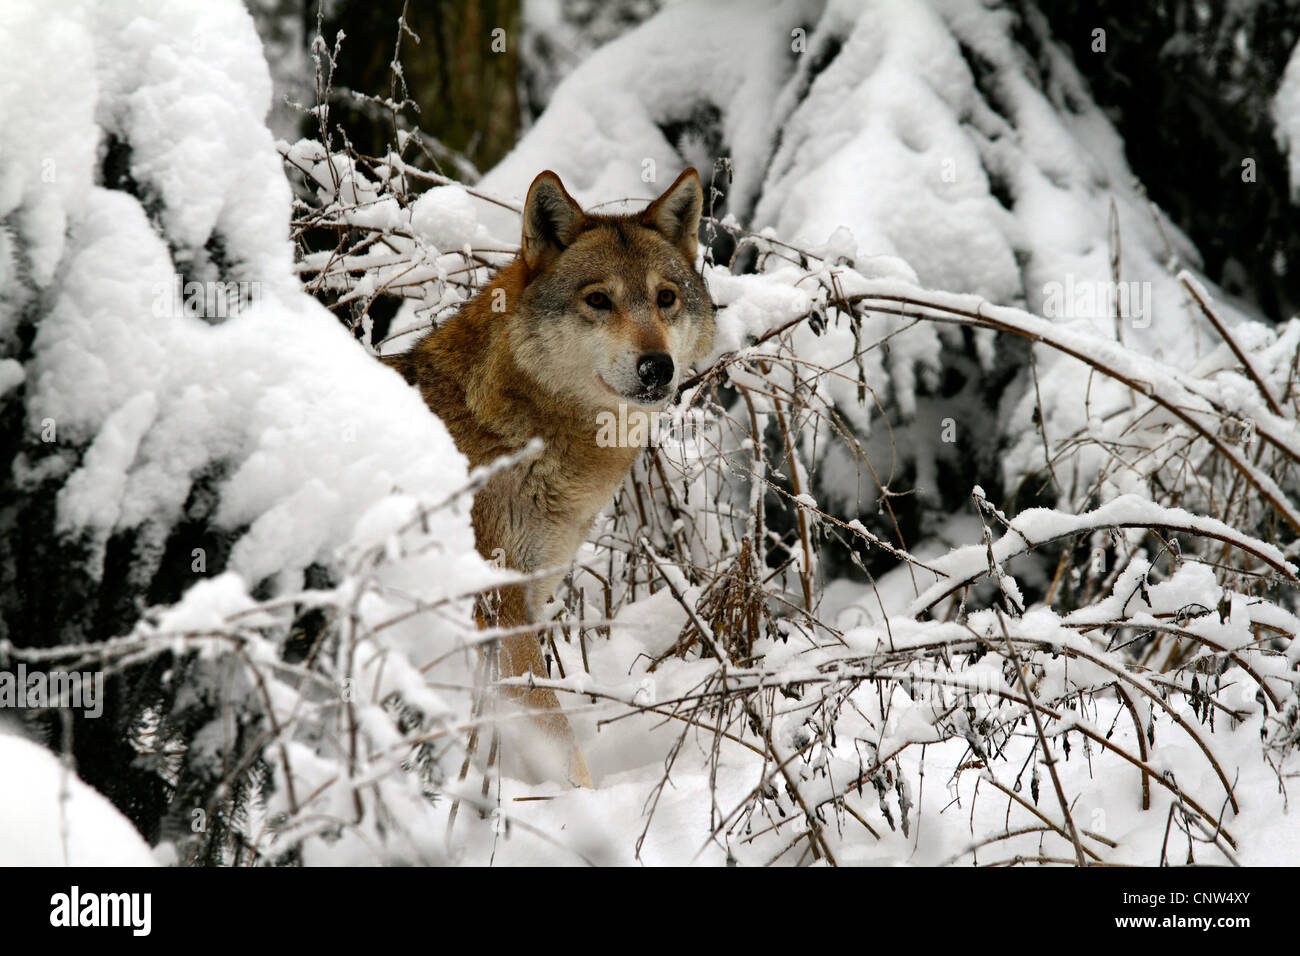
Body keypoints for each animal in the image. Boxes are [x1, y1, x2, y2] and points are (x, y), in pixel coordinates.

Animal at [385, 168, 716, 787]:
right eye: (599, 300)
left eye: (666, 298)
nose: (657, 367)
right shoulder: (499, 608)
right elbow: (555, 735)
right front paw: (580, 807)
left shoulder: (526, 600)